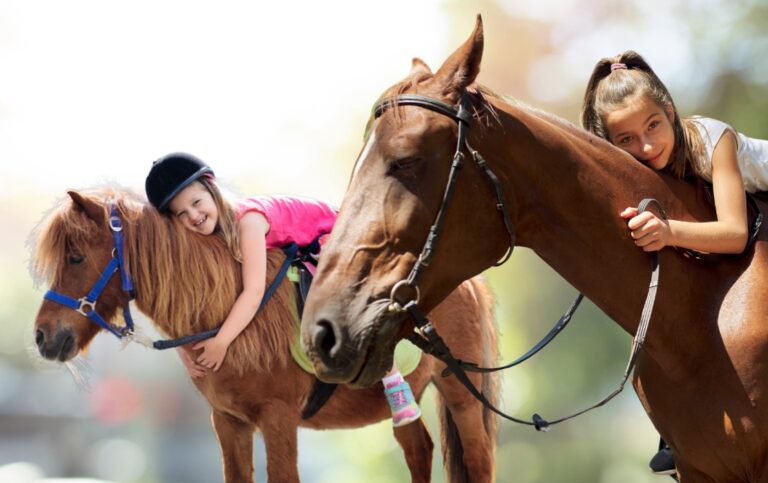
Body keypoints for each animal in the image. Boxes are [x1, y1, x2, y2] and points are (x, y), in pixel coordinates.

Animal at [30, 186, 499, 483]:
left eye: (75, 257)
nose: (42, 336)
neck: (232, 320)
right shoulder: (229, 422)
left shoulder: (278, 419)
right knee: (418, 449)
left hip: (461, 391)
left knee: (477, 462)